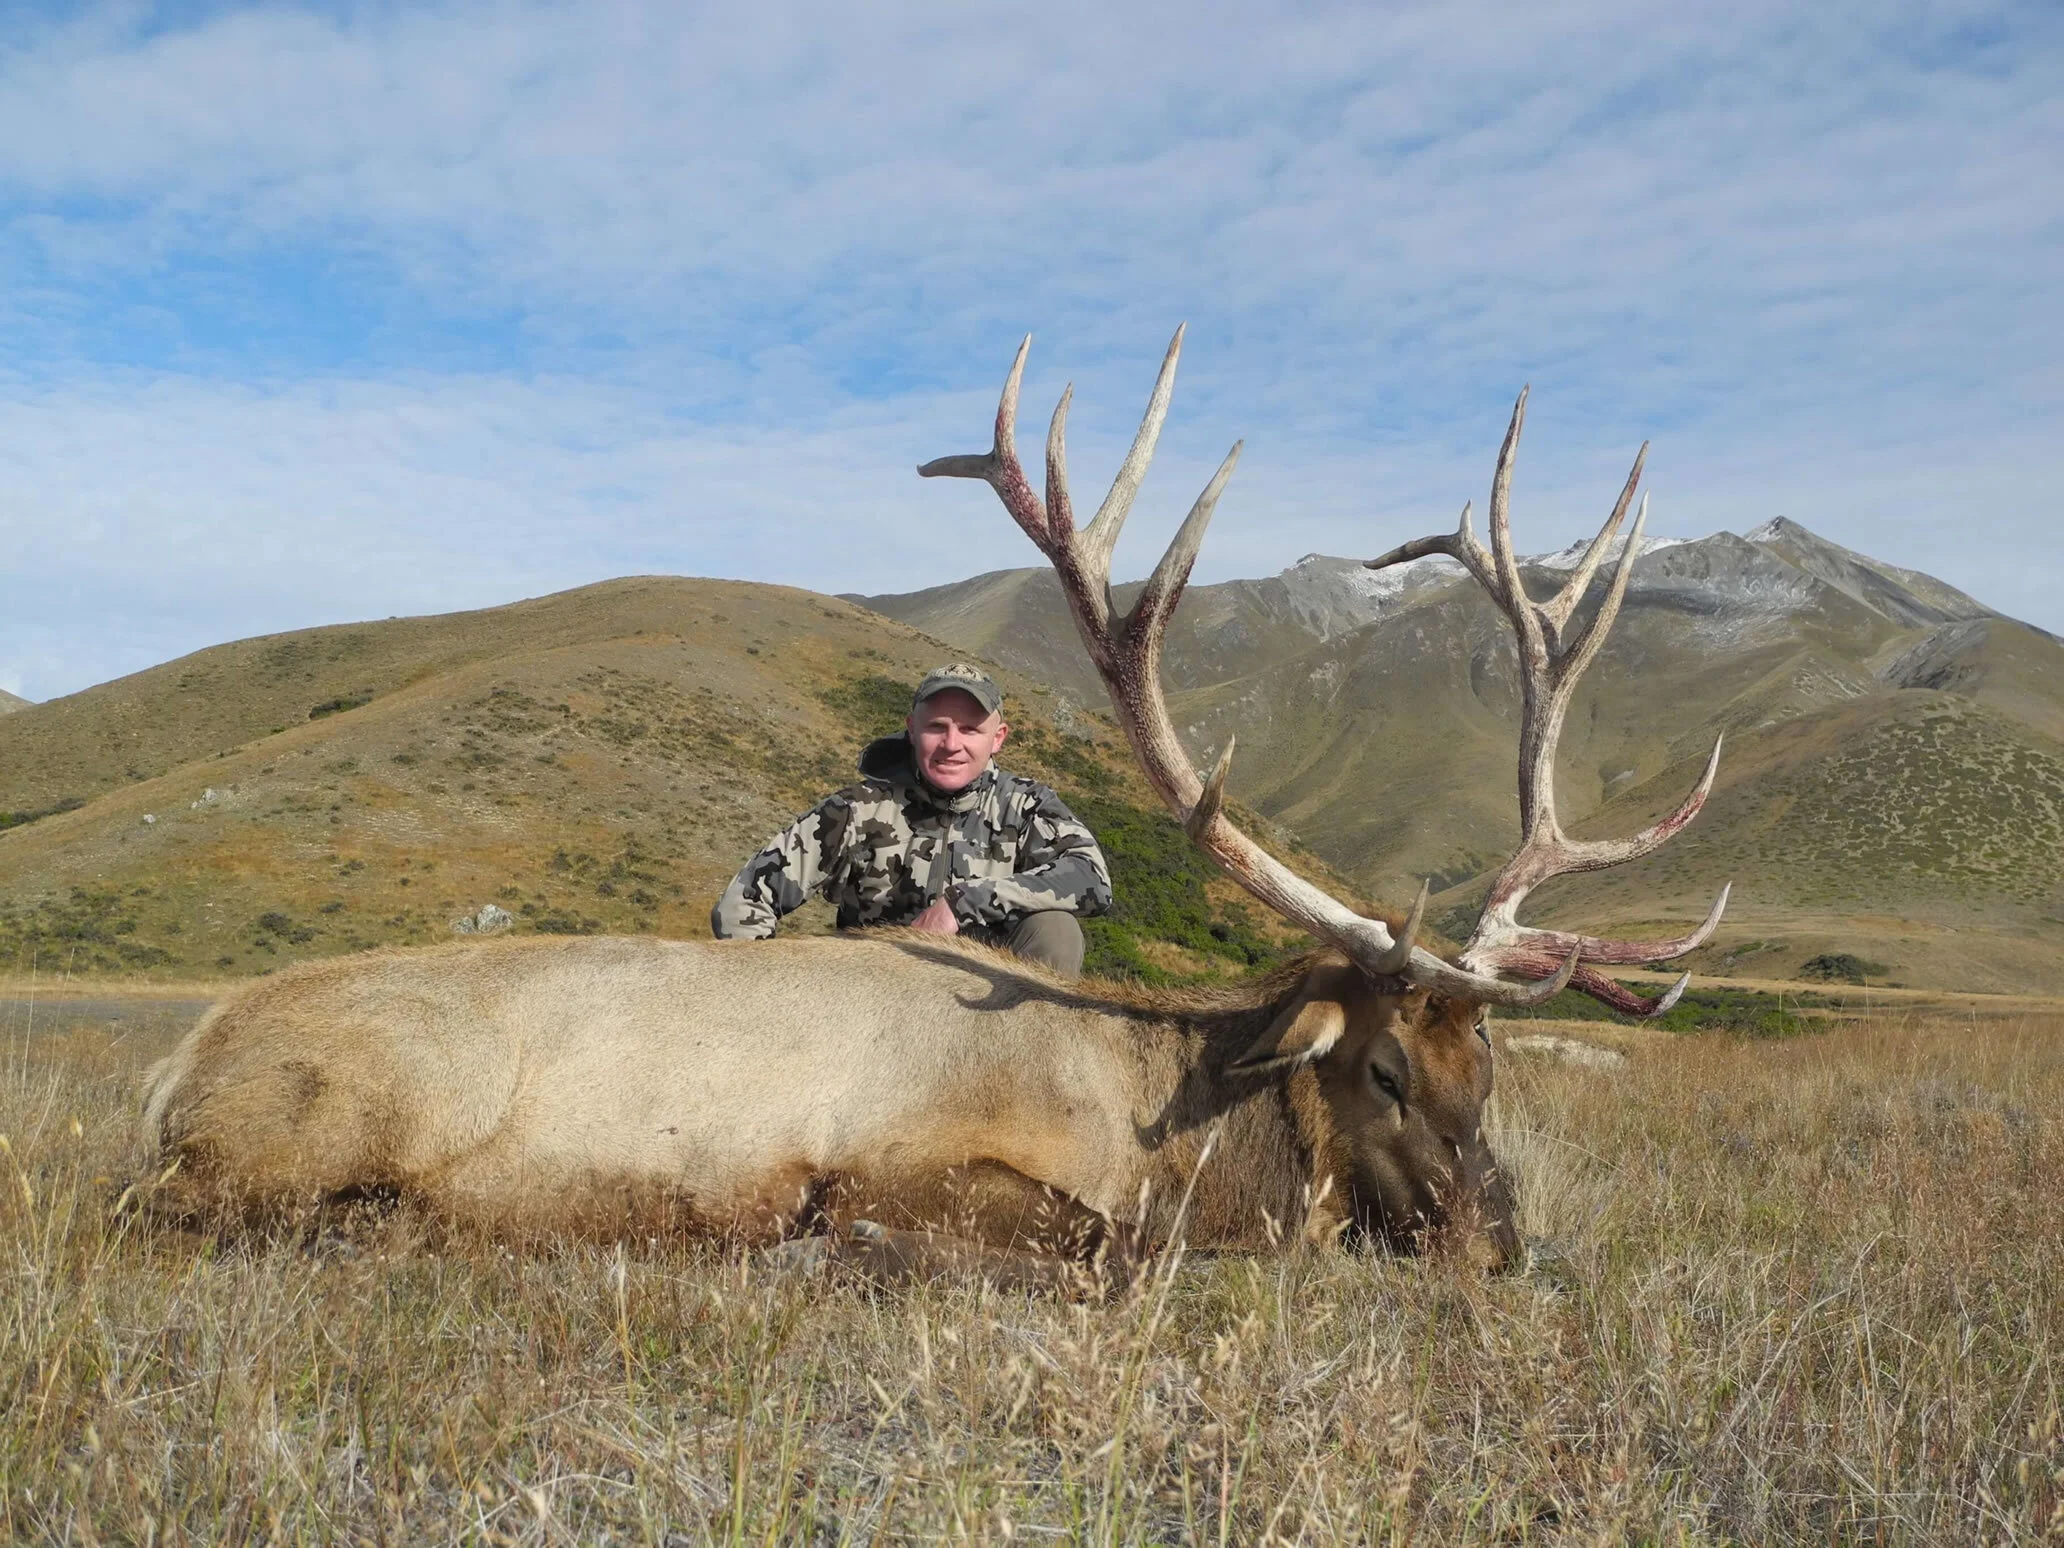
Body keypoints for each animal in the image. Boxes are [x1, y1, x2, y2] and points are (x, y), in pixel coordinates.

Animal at [140, 328, 1727, 1288]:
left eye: (1491, 1076)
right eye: (1388, 1070)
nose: (1509, 1252)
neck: (1174, 1130)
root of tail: (174, 1067)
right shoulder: (899, 1170)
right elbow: (1076, 1247)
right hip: (298, 1141)